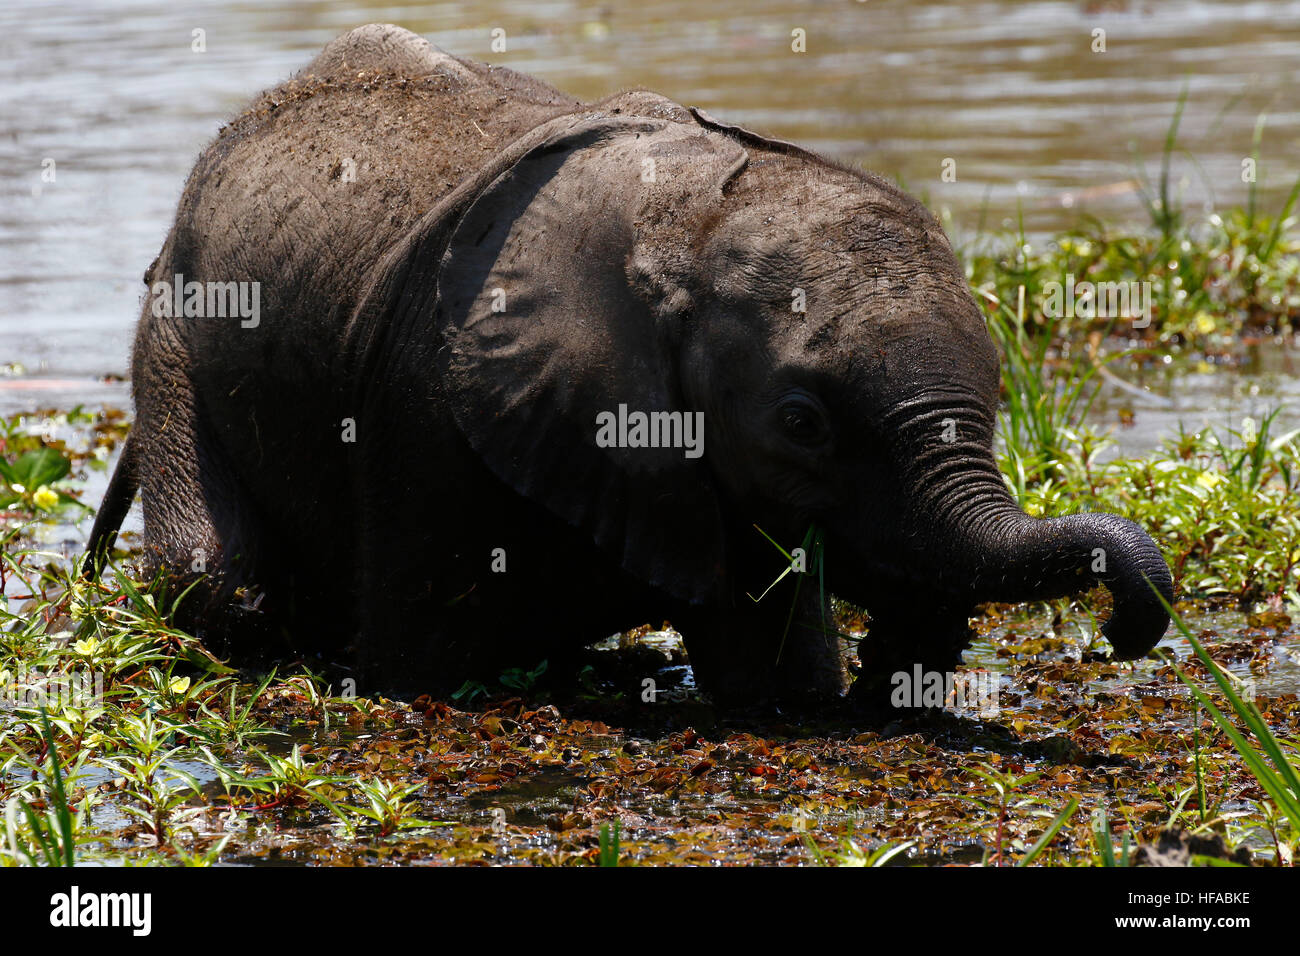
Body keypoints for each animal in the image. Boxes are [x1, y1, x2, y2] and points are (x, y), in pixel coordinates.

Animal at [85, 23, 1173, 707]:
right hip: (173, 326)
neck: (690, 221)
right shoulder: (424, 411)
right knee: (217, 579)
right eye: (801, 423)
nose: (1121, 633)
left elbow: (777, 679)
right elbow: (416, 668)